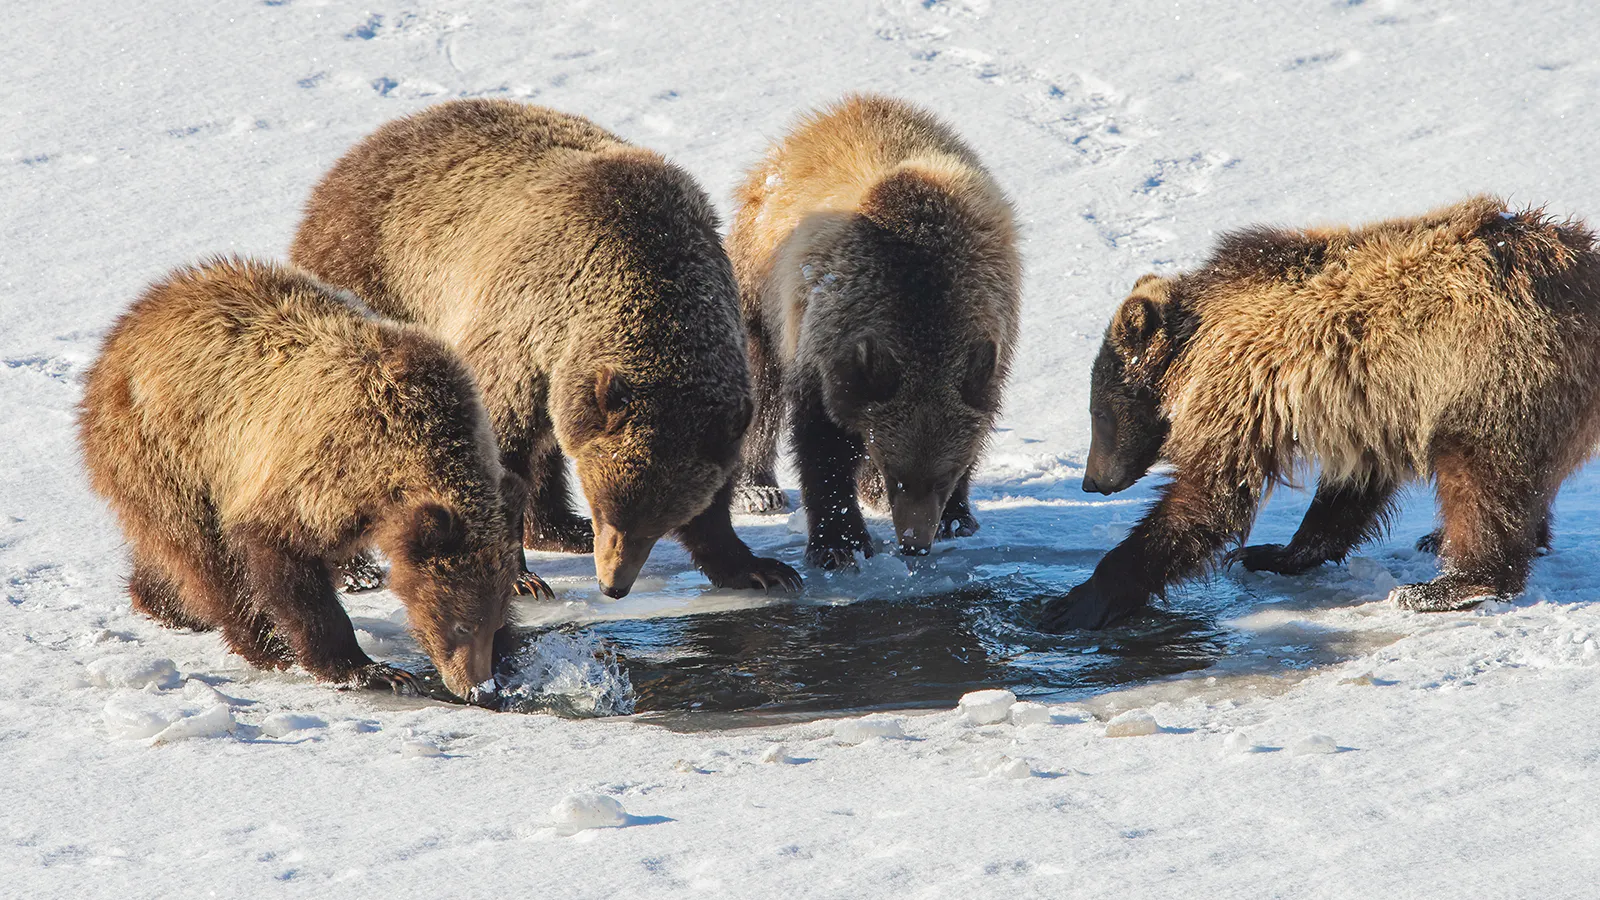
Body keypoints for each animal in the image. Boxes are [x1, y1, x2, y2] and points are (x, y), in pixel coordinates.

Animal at [78, 258, 519, 699]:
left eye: (492, 623)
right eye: (460, 624)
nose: (479, 689)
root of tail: (129, 322)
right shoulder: (320, 467)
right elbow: (284, 561)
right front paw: (371, 670)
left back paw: (162, 601)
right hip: (171, 447)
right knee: (206, 555)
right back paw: (260, 643)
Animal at [289, 99, 801, 599]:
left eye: (658, 525)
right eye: (607, 509)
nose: (613, 585)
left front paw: (757, 567)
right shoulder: (523, 329)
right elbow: (498, 445)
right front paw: (519, 577)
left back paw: (560, 528)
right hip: (375, 285)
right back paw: (358, 572)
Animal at [726, 93, 1021, 568]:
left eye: (943, 477)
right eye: (899, 473)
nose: (915, 542)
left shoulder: (994, 331)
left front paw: (958, 517)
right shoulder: (827, 335)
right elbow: (823, 440)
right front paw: (837, 542)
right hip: (757, 276)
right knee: (761, 380)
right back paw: (757, 489)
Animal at [1040, 195, 1600, 630]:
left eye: (1099, 412)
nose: (1093, 481)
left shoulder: (1245, 383)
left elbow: (1207, 496)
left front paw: (1081, 599)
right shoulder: (1368, 404)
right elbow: (1346, 495)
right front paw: (1272, 553)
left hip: (1493, 372)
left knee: (1480, 477)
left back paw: (1444, 586)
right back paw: (1453, 541)